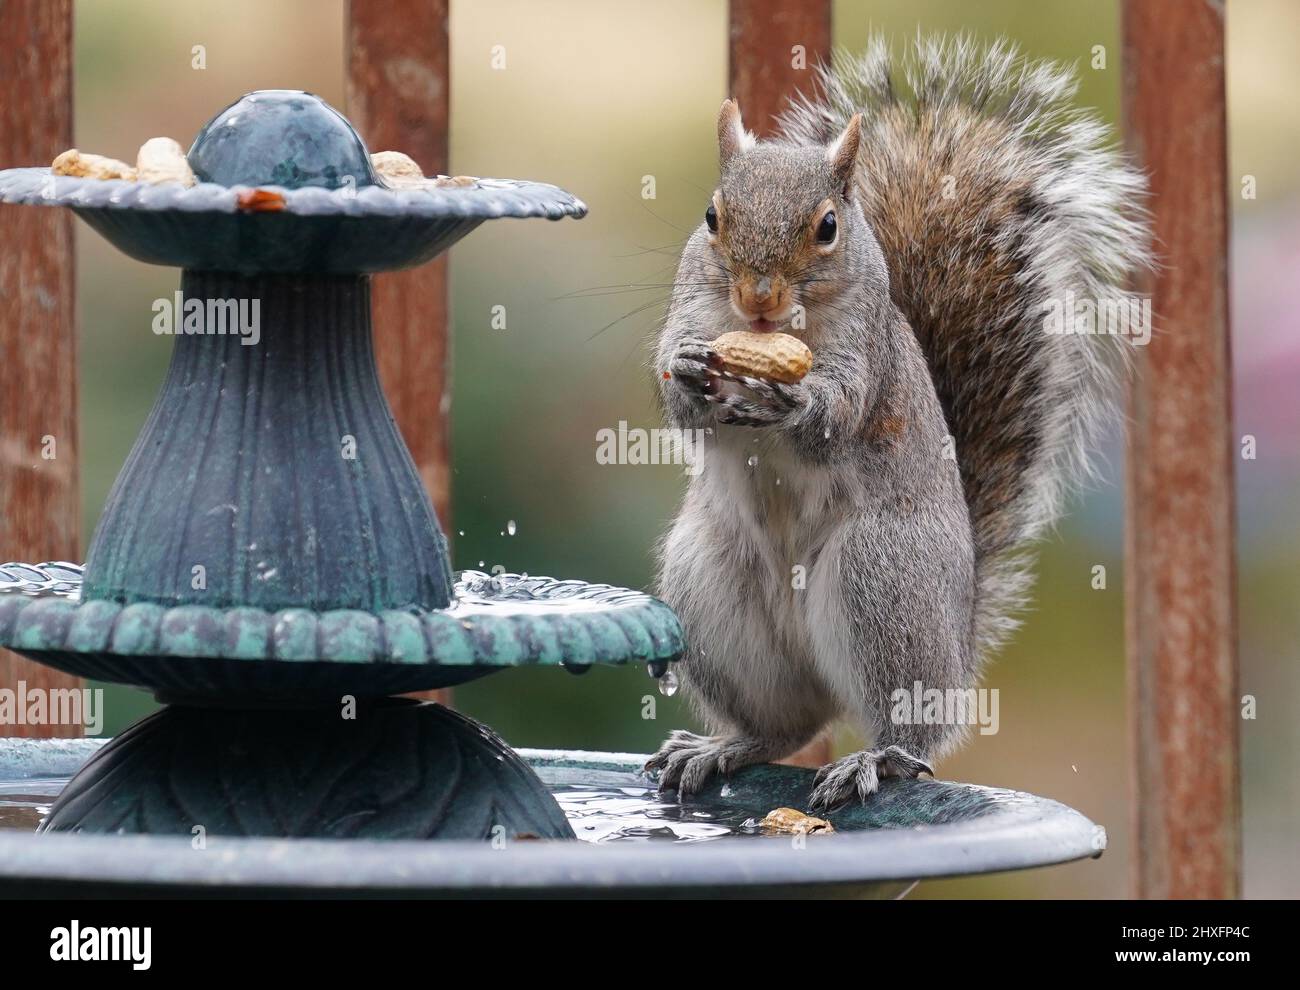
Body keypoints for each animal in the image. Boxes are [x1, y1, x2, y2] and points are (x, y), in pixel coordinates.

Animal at [644, 36, 1152, 812]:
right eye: (711, 216)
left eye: (827, 227)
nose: (757, 298)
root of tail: (958, 645)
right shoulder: (690, 314)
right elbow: (679, 400)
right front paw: (694, 370)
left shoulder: (869, 356)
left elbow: (835, 418)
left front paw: (788, 403)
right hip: (709, 585)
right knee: (786, 726)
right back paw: (722, 746)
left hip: (882, 580)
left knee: (907, 734)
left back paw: (875, 760)